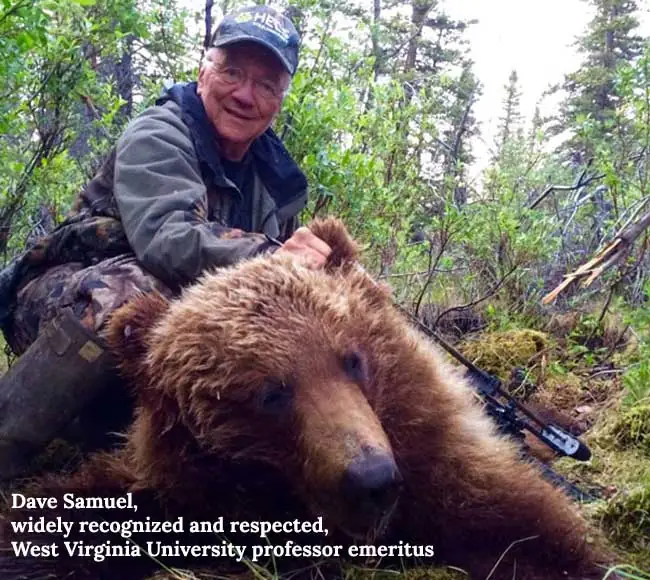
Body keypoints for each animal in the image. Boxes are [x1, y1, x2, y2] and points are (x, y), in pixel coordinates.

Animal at [1, 219, 612, 580]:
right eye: (269, 393)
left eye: (353, 359)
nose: (372, 480)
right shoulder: (173, 488)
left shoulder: (446, 466)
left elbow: (533, 533)